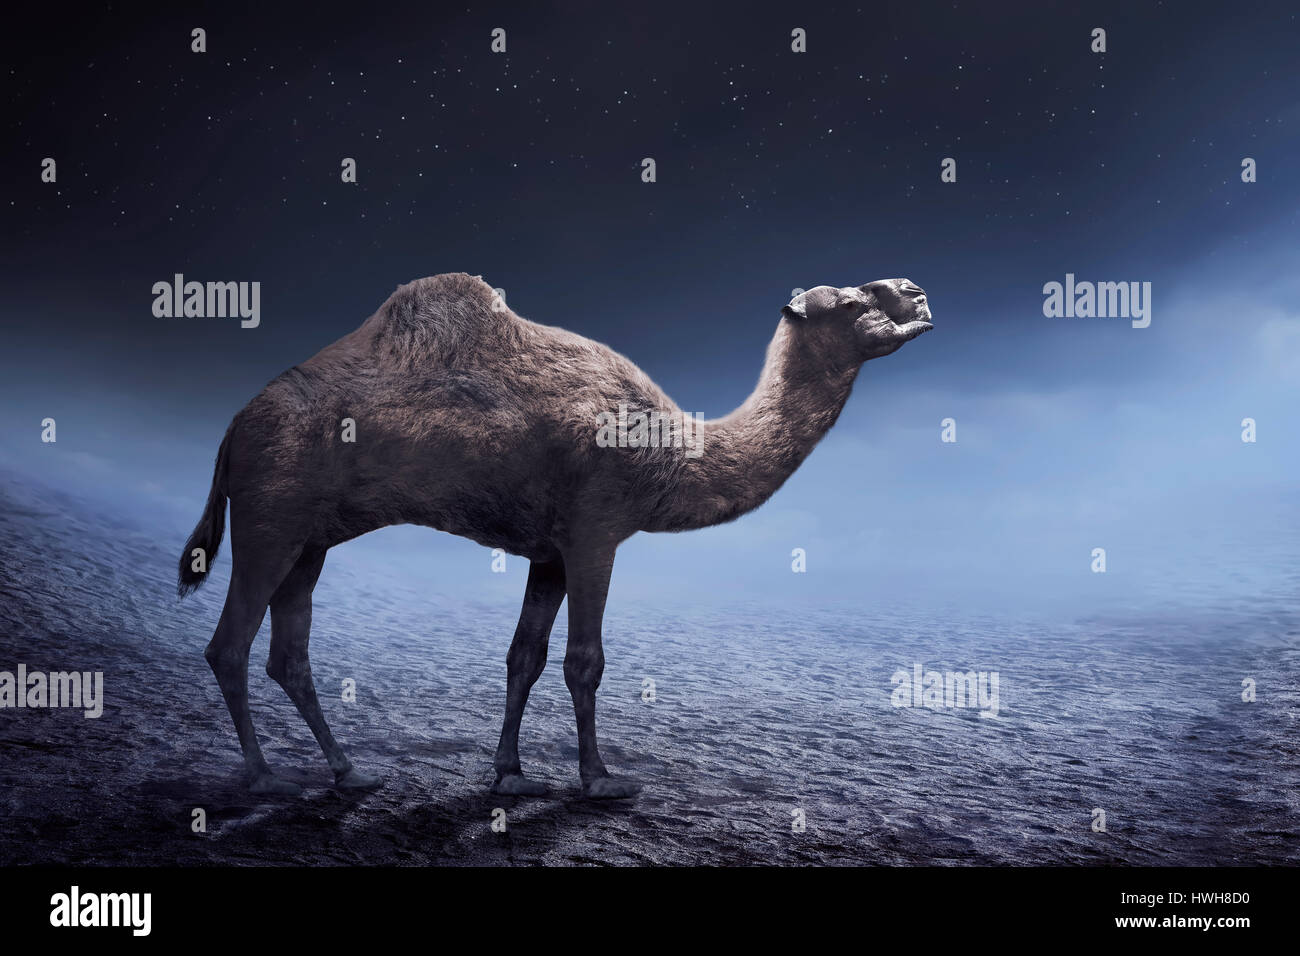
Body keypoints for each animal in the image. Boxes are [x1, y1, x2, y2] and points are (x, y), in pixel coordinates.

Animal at [179, 273, 933, 798]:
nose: (917, 293)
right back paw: (264, 778)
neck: (671, 450)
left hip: (310, 539)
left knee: (289, 655)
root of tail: (231, 428)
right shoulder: (595, 529)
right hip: (271, 515)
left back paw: (349, 773)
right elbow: (583, 660)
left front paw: (510, 774)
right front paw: (599, 780)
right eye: (851, 301)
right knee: (228, 645)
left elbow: (525, 657)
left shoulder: (548, 550)